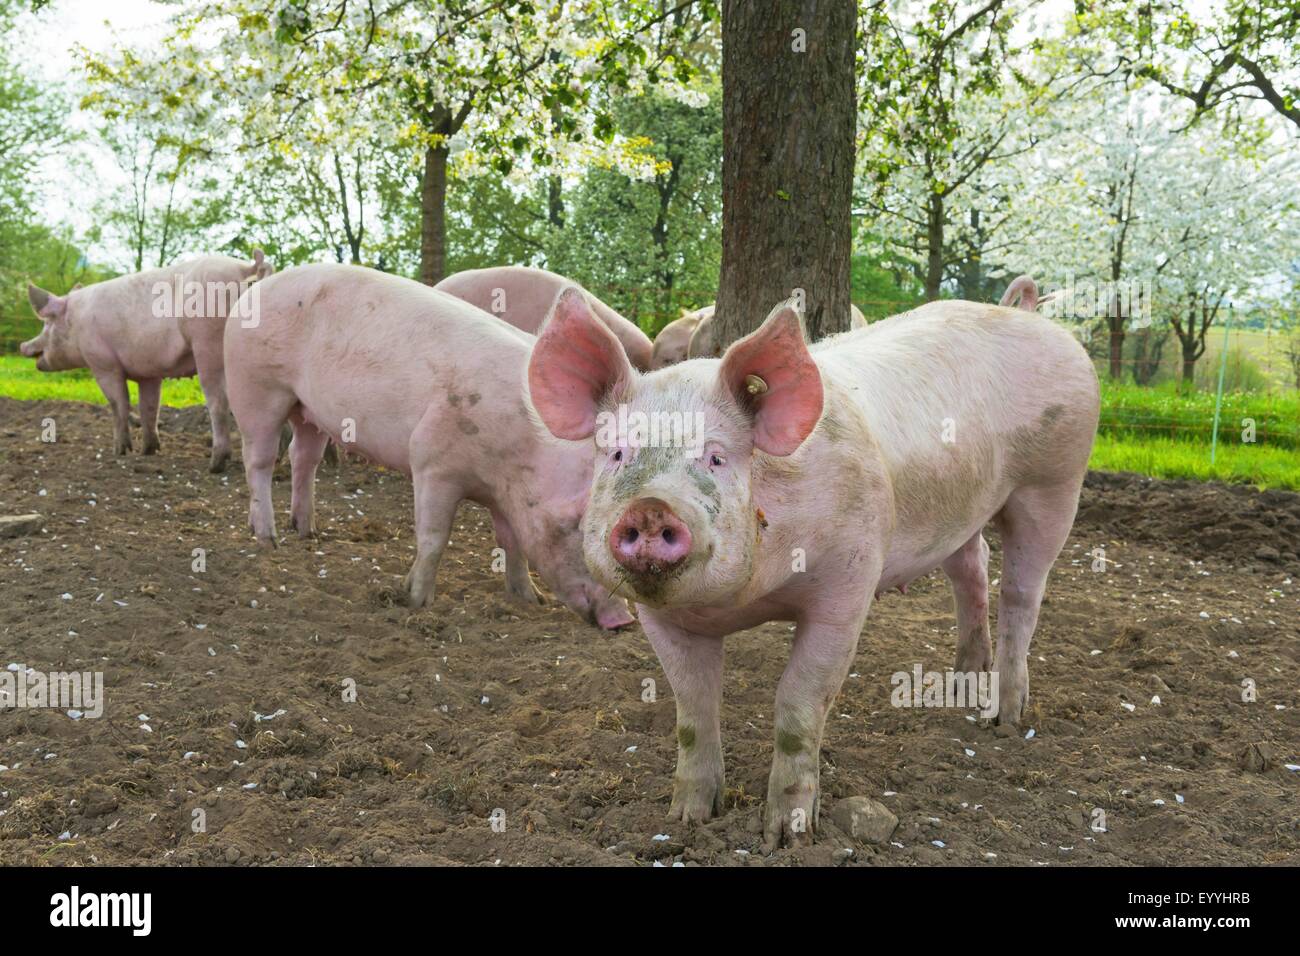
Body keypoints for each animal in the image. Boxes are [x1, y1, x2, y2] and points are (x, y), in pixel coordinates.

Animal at [21, 251, 273, 472]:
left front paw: (119, 452)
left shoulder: (103, 364)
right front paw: (148, 451)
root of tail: (247, 268)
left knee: (219, 403)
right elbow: (149, 407)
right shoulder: (149, 372)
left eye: (47, 322)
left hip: (208, 345)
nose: (23, 345)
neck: (76, 321)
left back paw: (215, 466)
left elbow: (118, 403)